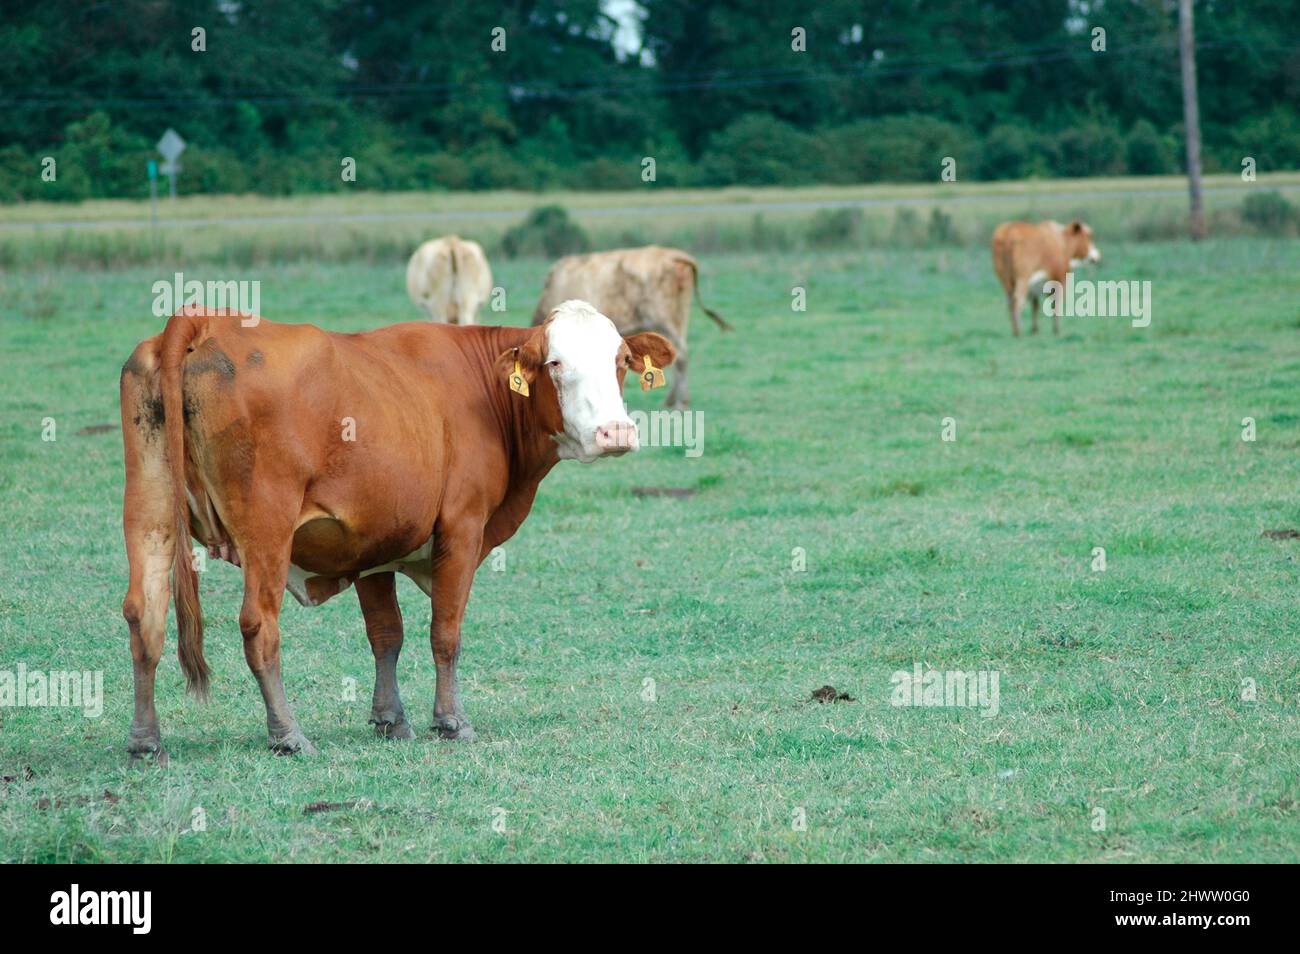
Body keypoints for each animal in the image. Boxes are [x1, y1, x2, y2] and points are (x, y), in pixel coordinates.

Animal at [118, 300, 675, 762]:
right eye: (556, 363)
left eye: (622, 359)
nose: (616, 432)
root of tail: (206, 322)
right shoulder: (461, 528)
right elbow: (445, 634)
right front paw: (450, 721)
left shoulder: (369, 541)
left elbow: (386, 634)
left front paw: (390, 719)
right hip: (266, 529)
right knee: (259, 626)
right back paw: (287, 734)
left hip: (149, 513)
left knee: (145, 615)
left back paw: (146, 741)